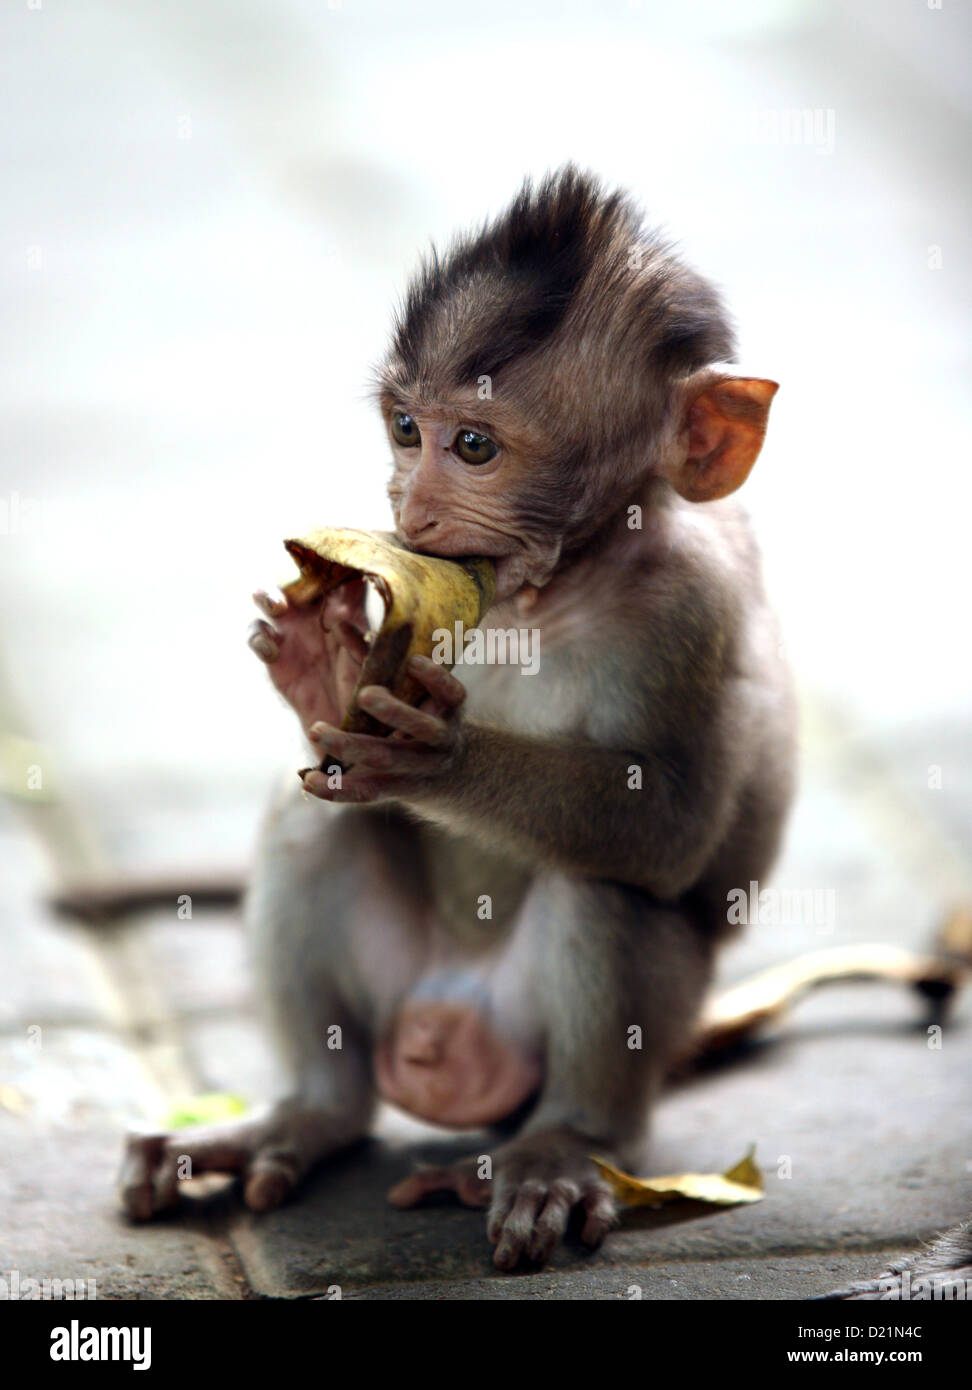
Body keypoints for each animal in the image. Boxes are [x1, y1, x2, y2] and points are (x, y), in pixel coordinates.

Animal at [120, 166, 797, 1271]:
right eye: (405, 427)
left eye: (473, 445)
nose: (411, 508)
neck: (553, 590)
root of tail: (448, 1029)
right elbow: (333, 768)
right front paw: (323, 670)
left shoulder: (690, 609)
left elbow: (671, 828)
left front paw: (441, 760)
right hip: (397, 989)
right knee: (313, 822)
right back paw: (307, 1114)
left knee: (602, 888)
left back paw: (563, 1146)